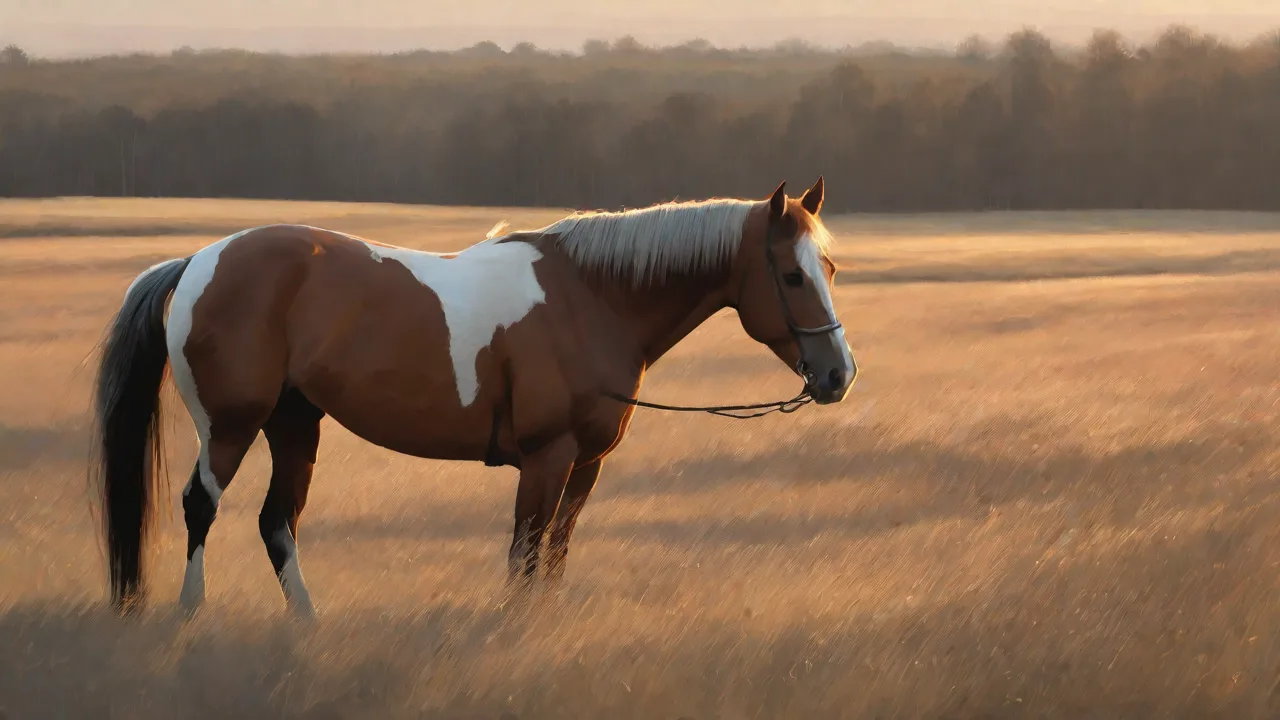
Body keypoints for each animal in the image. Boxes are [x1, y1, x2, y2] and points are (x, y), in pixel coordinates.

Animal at [90, 177, 858, 618]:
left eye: (828, 267)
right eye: (791, 275)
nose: (838, 375)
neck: (589, 300)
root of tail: (200, 261)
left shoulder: (585, 466)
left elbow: (557, 550)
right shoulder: (547, 460)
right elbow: (525, 552)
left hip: (295, 427)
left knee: (277, 523)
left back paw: (308, 625)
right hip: (231, 428)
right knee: (202, 507)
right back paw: (191, 613)